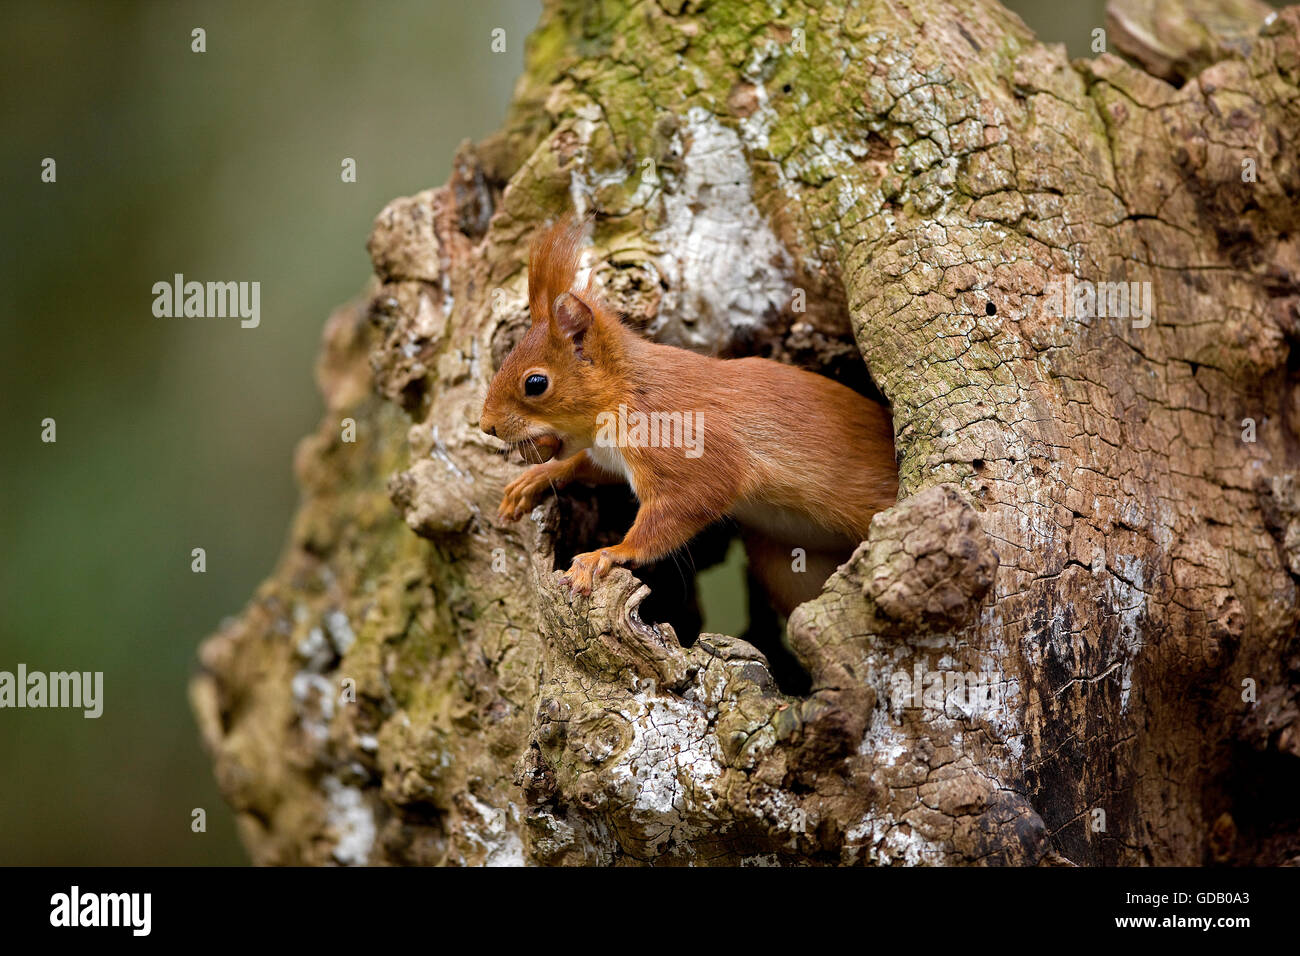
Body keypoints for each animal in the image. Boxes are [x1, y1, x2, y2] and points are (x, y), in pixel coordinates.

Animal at [479, 214, 898, 615]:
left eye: (535, 383)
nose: (487, 426)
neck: (626, 395)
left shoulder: (682, 441)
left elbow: (692, 499)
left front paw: (609, 553)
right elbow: (590, 466)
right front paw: (537, 477)